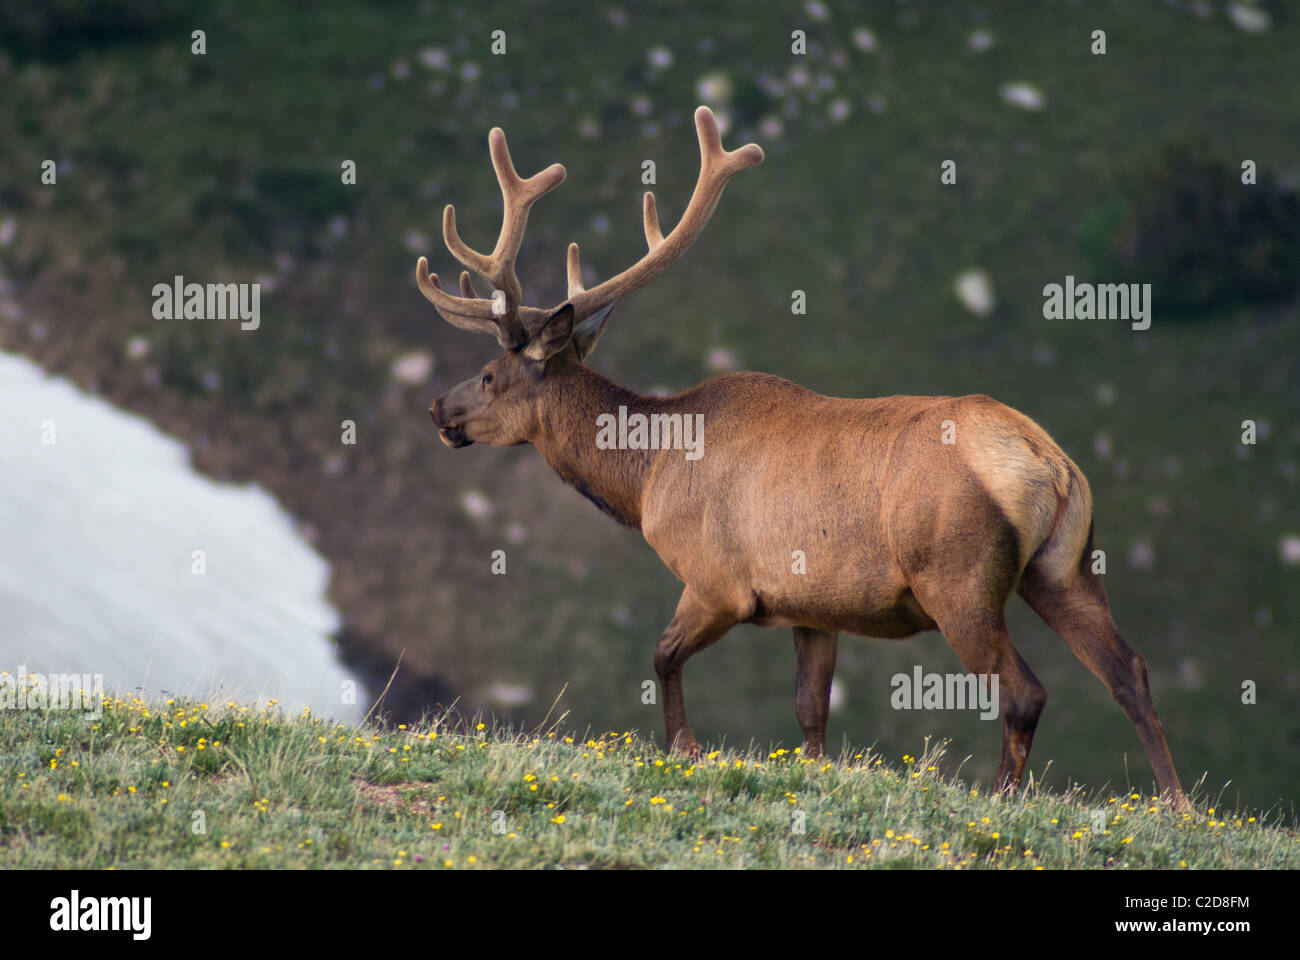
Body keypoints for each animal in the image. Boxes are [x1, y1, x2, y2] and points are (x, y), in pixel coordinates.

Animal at [418, 106, 1190, 811]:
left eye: (489, 374)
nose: (436, 411)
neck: (646, 477)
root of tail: (1049, 464)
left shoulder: (717, 578)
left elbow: (663, 654)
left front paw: (684, 748)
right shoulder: (812, 606)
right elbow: (811, 713)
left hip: (958, 579)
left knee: (1026, 691)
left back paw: (1003, 798)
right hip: (1064, 565)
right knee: (1130, 670)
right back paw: (1177, 805)